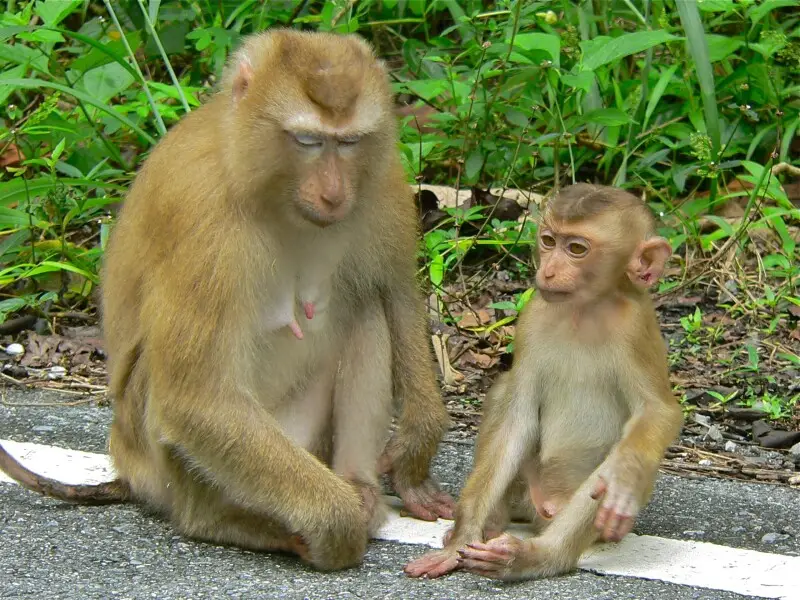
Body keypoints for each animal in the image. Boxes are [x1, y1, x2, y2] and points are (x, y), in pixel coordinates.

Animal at [0, 29, 455, 571]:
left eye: (348, 142)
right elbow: (195, 398)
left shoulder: (382, 181)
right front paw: (337, 525)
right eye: (307, 141)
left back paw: (359, 485)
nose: (333, 194)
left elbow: (397, 291)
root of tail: (127, 465)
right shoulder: (204, 222)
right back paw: (226, 521)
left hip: (303, 437)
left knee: (365, 306)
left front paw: (415, 451)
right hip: (210, 463)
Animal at [404, 183, 684, 581]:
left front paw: (625, 478)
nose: (548, 271)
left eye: (577, 249)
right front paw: (462, 536)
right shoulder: (532, 317)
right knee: (503, 391)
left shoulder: (636, 330)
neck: (584, 310)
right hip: (524, 488)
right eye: (549, 241)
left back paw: (537, 557)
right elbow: (517, 415)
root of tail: (540, 510)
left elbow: (658, 412)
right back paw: (492, 521)